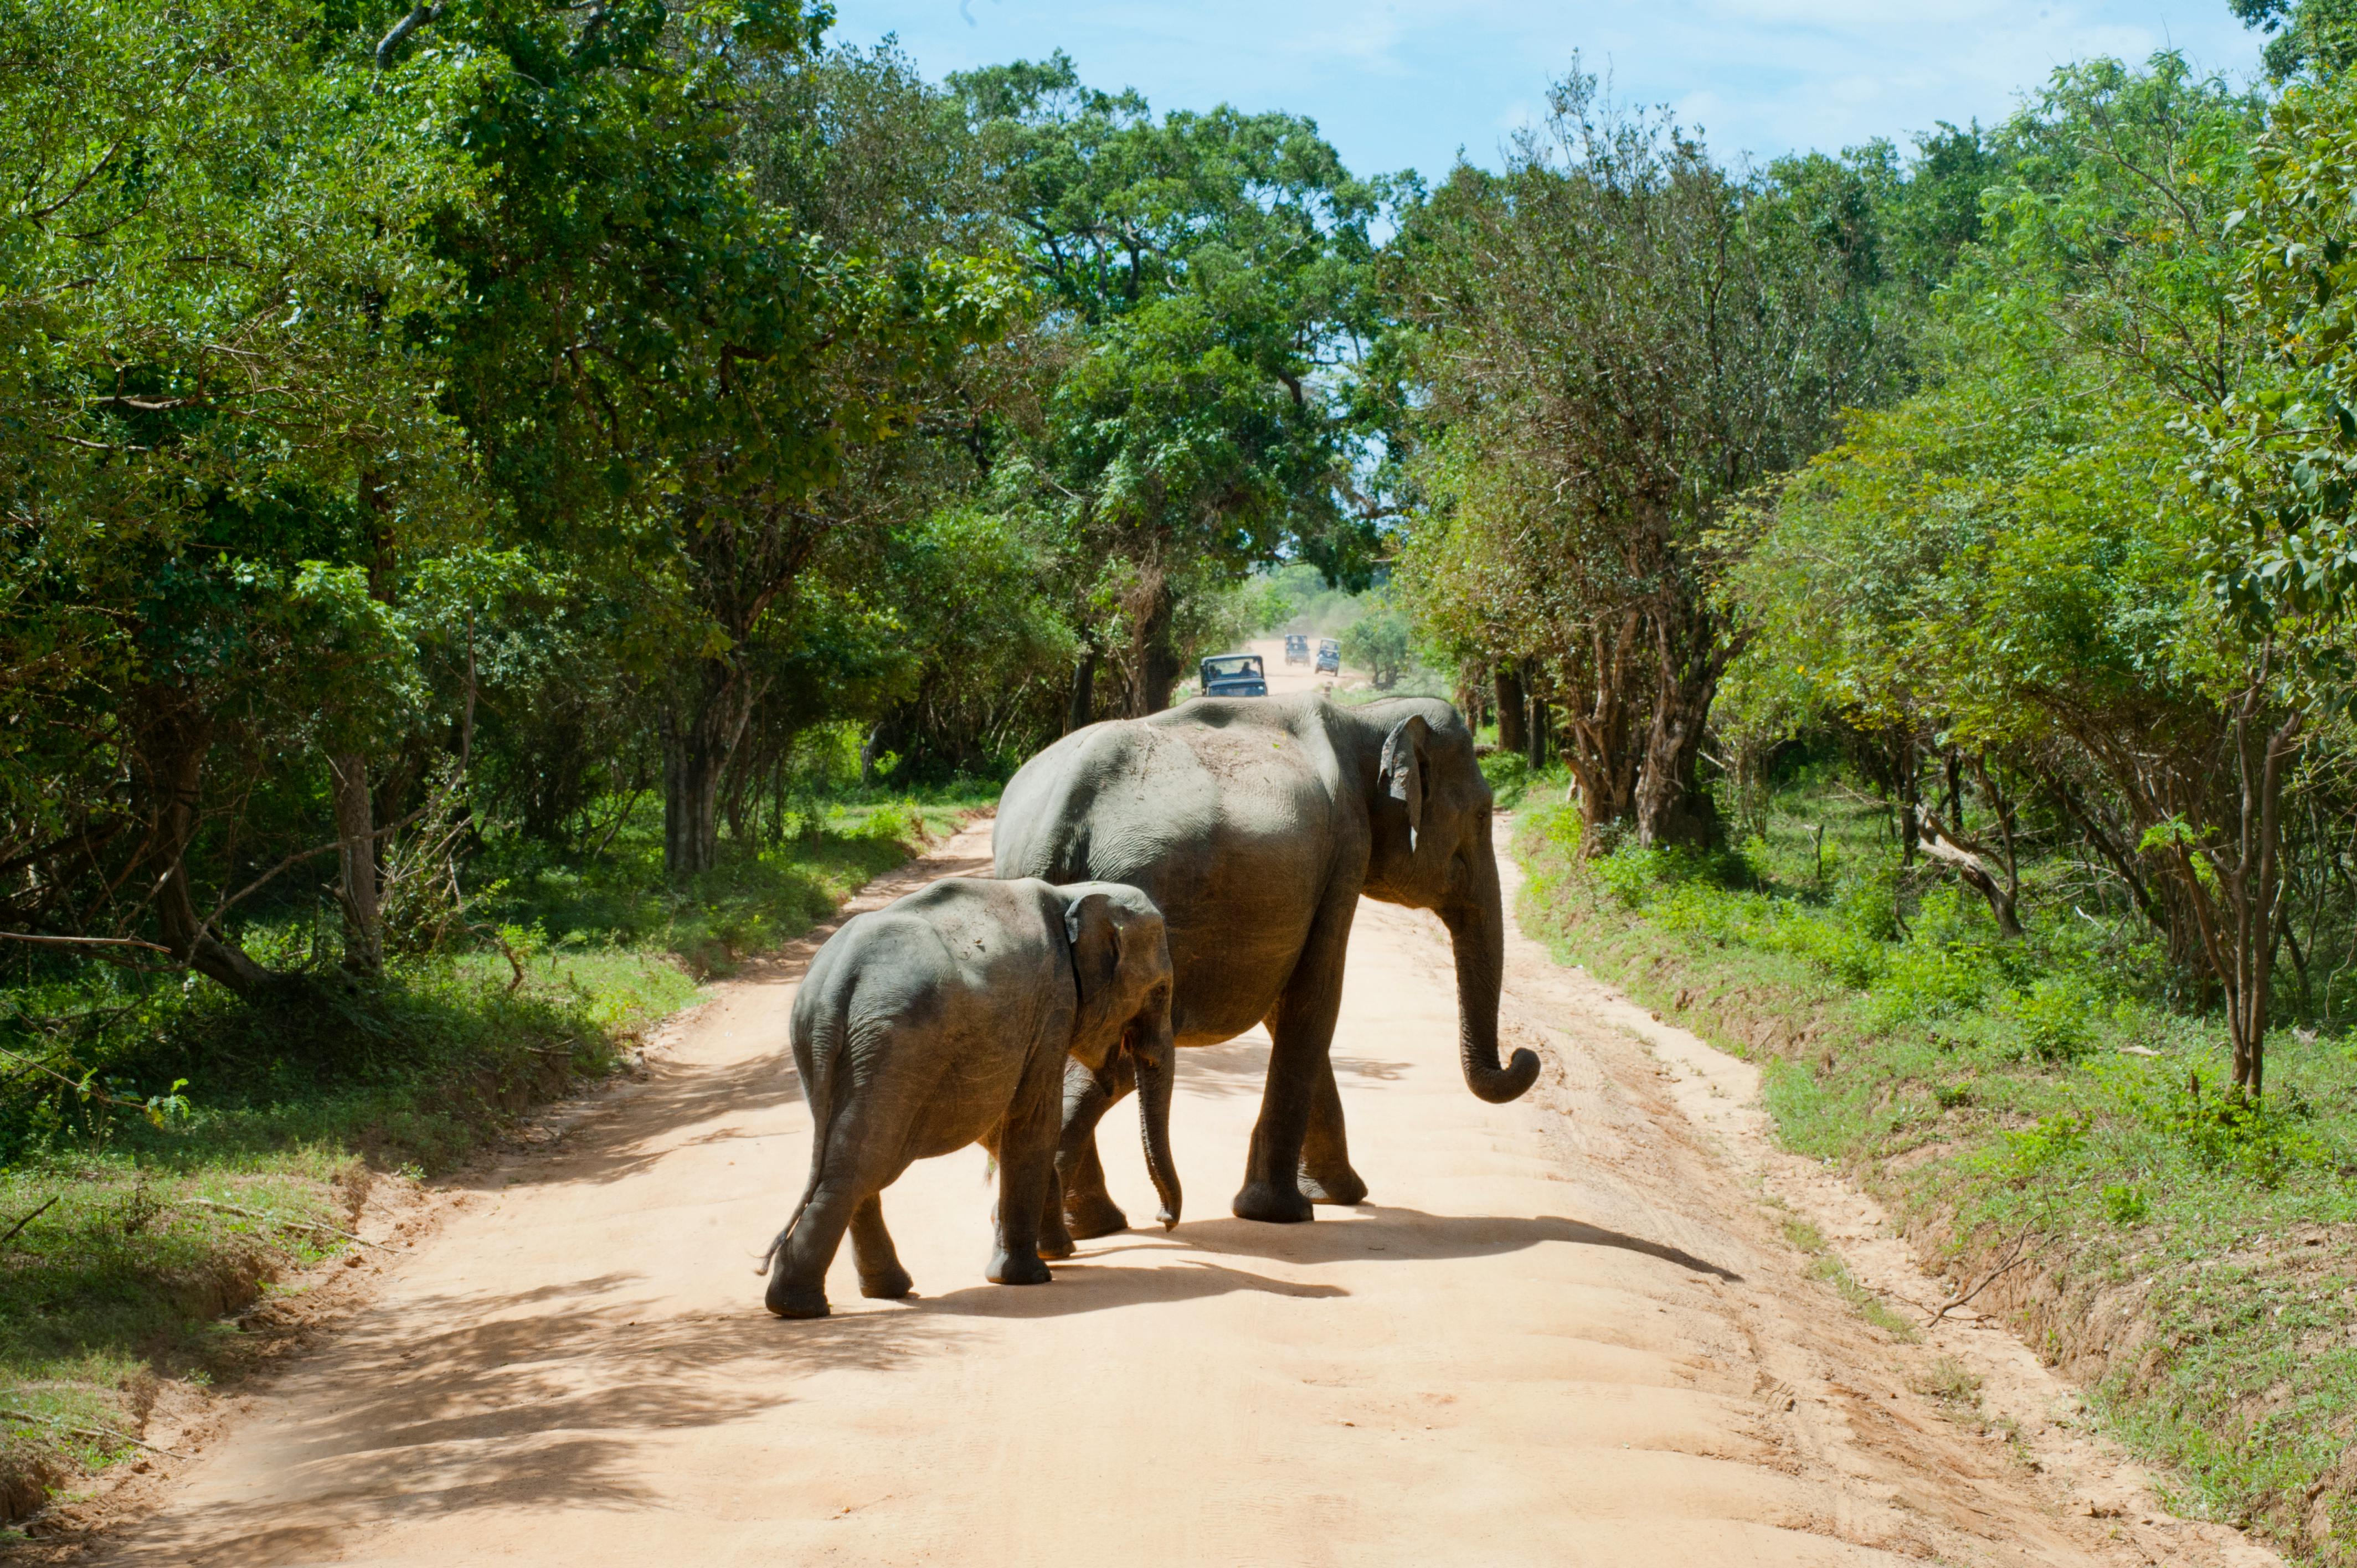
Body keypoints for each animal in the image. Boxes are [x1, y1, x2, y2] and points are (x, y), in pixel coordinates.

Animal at [760, 877, 1179, 1320]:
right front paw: (1028, 1276)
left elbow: (1001, 1126)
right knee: (862, 1165)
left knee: (852, 1157)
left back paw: (875, 1292)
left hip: (830, 1044)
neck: (1070, 895)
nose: (1165, 1220)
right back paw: (801, 1307)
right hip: (895, 1046)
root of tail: (837, 983)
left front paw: (1054, 1253)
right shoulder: (1053, 1006)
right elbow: (1033, 1121)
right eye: (1160, 990)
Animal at [992, 692, 1541, 1233]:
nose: (1525, 1055)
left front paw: (1336, 1195)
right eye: (1483, 815)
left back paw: (1087, 1226)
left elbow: (1289, 1005)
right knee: (1125, 1052)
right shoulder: (1345, 849)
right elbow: (1316, 996)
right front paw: (1282, 1212)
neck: (1367, 716)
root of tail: (1053, 823)